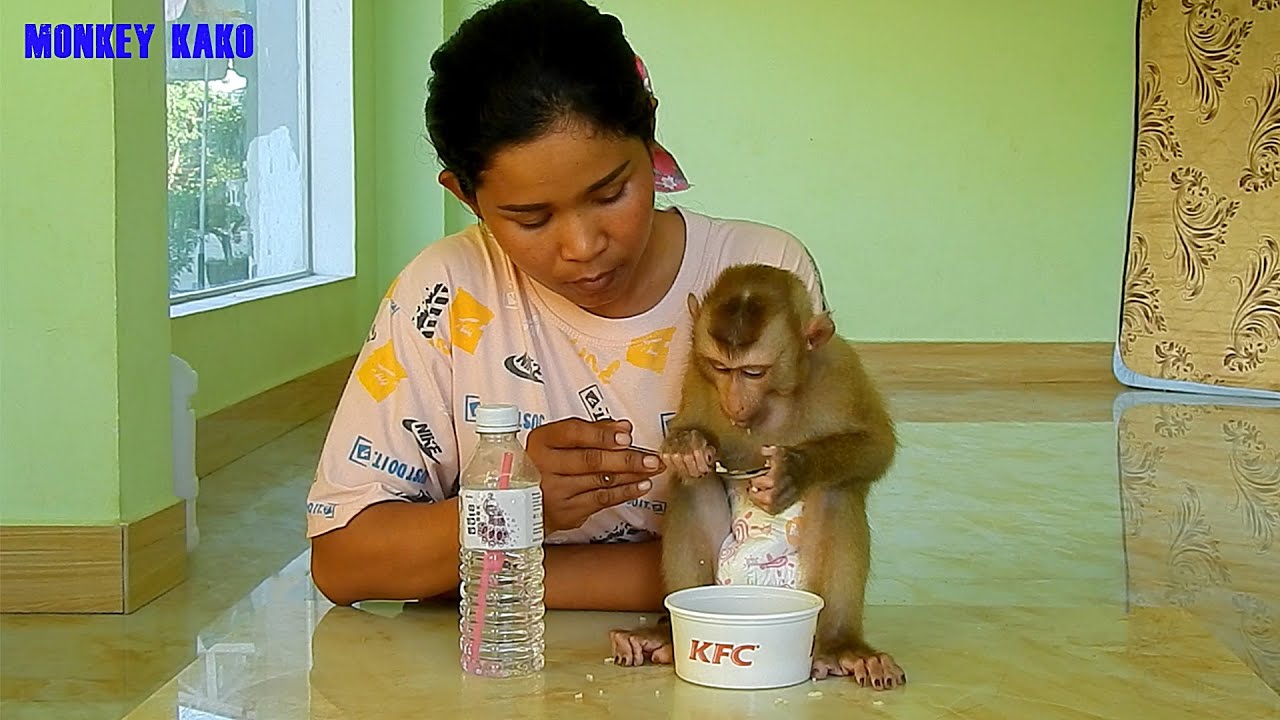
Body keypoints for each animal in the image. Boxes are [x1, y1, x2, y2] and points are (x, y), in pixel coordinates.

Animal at [609, 263, 906, 690]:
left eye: (754, 372)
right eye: (721, 367)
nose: (734, 403)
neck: (773, 401)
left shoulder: (840, 370)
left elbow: (876, 445)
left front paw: (792, 470)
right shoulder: (697, 374)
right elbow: (688, 443)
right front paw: (686, 446)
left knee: (838, 490)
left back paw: (841, 645)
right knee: (693, 485)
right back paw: (664, 637)